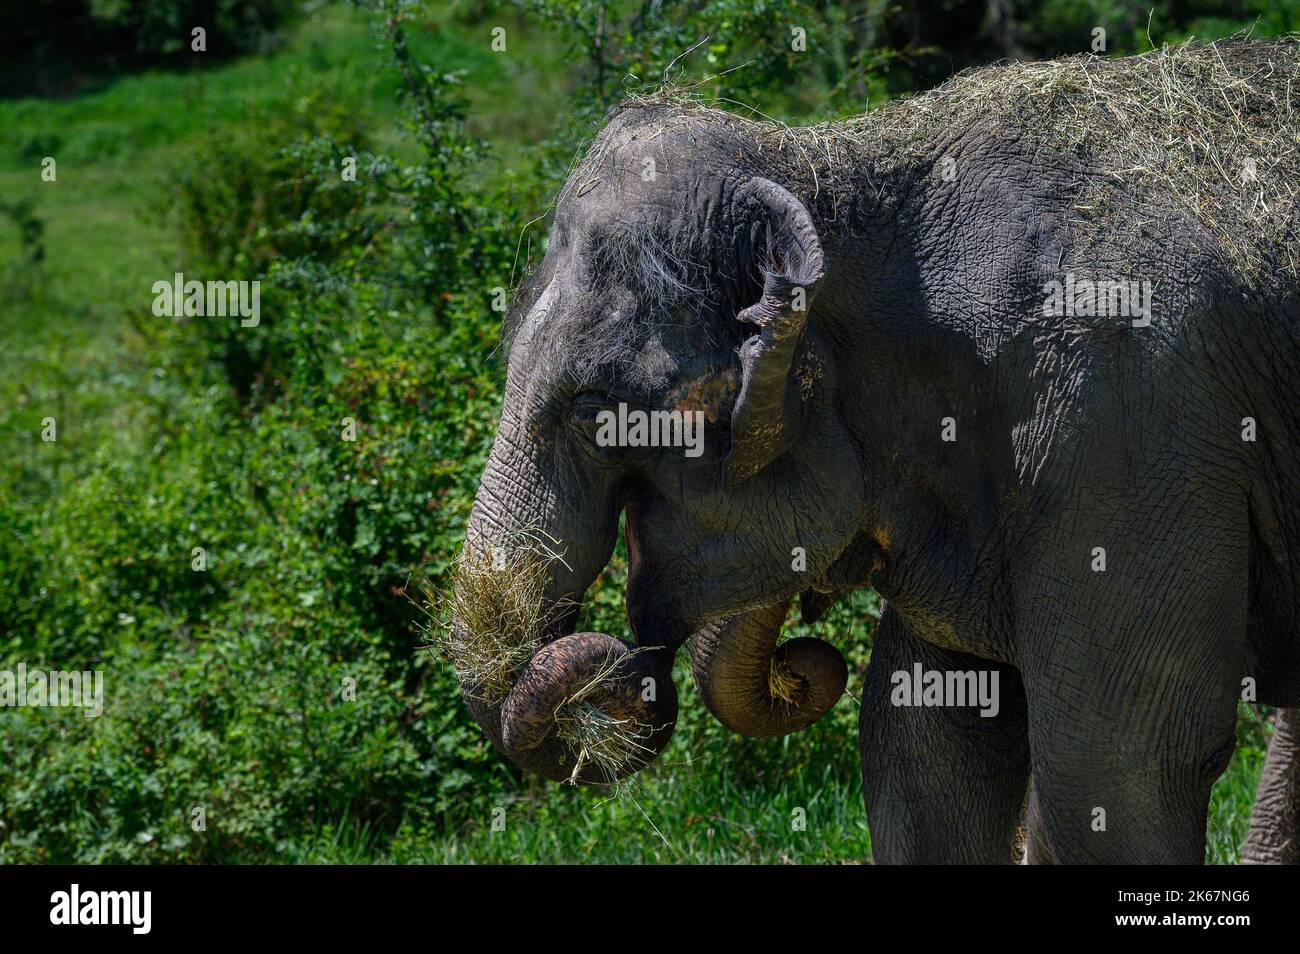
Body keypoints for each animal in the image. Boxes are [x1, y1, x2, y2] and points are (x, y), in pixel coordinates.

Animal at [448, 38, 1300, 863]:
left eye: (595, 409)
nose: (626, 668)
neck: (836, 166)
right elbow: (921, 742)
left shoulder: (1126, 419)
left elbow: (1123, 766)